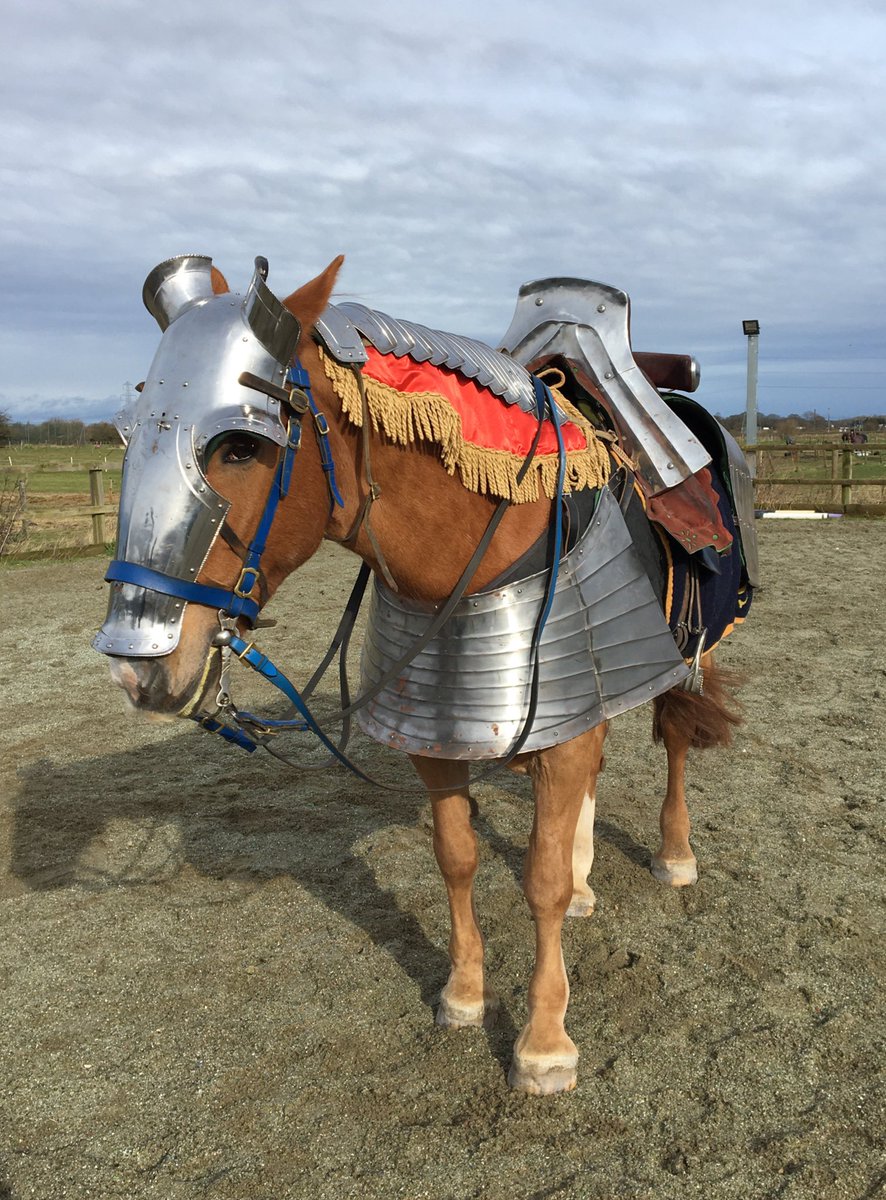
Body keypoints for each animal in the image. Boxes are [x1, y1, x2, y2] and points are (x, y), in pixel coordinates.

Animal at [95, 254, 752, 1094]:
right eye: (129, 437)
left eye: (239, 448)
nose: (137, 669)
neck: (487, 534)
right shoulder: (441, 728)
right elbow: (458, 859)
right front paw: (465, 993)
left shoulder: (568, 696)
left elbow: (537, 880)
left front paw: (544, 1042)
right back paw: (587, 884)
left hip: (690, 650)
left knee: (673, 741)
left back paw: (674, 855)